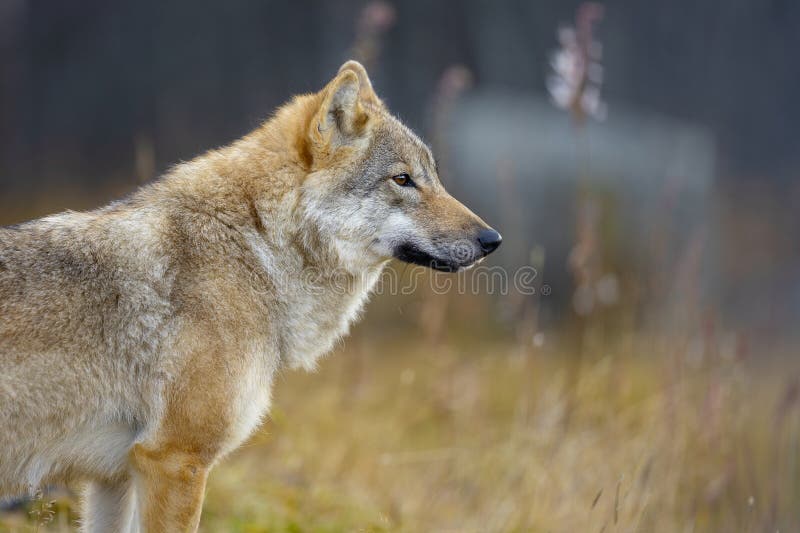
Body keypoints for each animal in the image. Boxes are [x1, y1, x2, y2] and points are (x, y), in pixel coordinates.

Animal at [0, 61, 501, 531]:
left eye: (432, 176)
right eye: (402, 179)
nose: (492, 239)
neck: (251, 248)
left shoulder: (115, 476)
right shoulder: (175, 460)